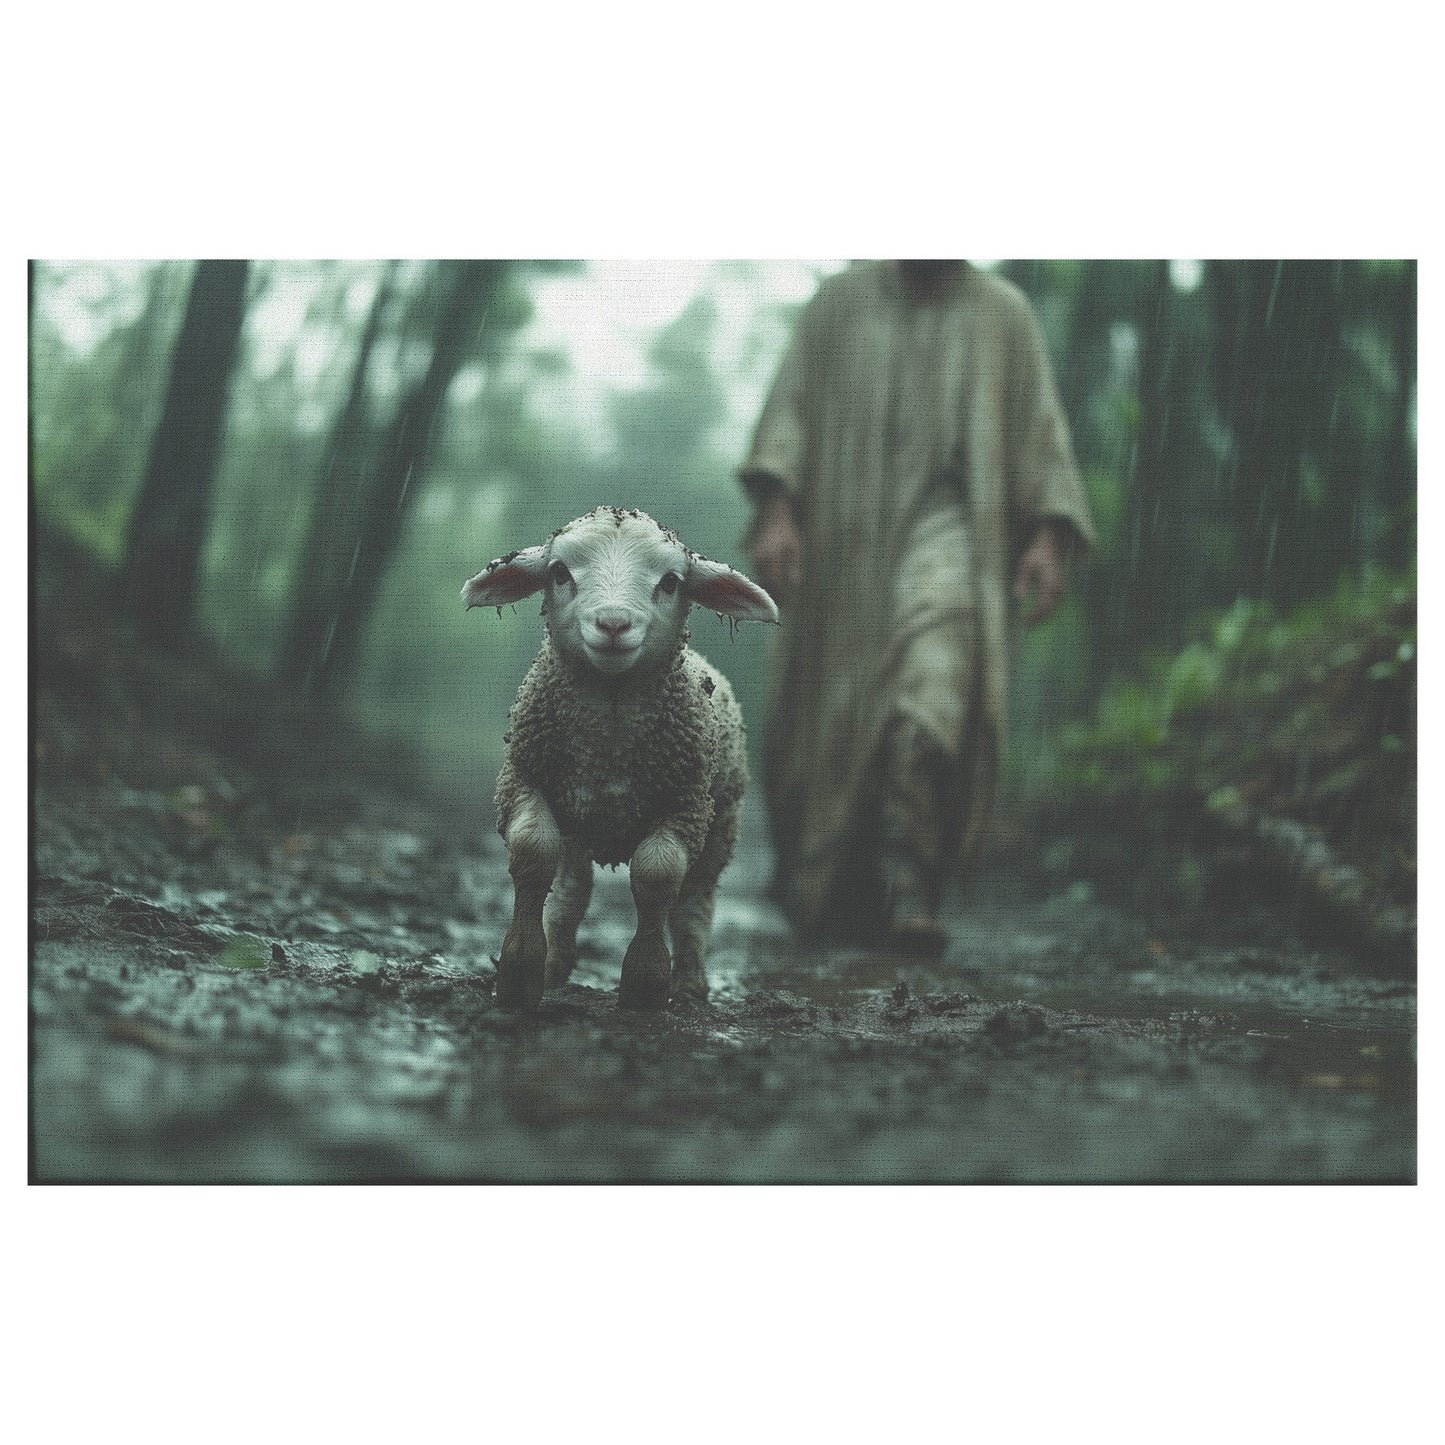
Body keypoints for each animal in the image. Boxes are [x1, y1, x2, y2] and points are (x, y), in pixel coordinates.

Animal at [463, 507, 778, 1011]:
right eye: (559, 573)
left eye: (670, 582)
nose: (612, 624)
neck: (608, 744)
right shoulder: (524, 778)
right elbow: (533, 850)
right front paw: (520, 971)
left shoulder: (686, 804)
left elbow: (658, 875)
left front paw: (645, 983)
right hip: (577, 822)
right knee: (572, 890)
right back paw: (555, 964)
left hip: (722, 821)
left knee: (694, 902)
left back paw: (689, 983)